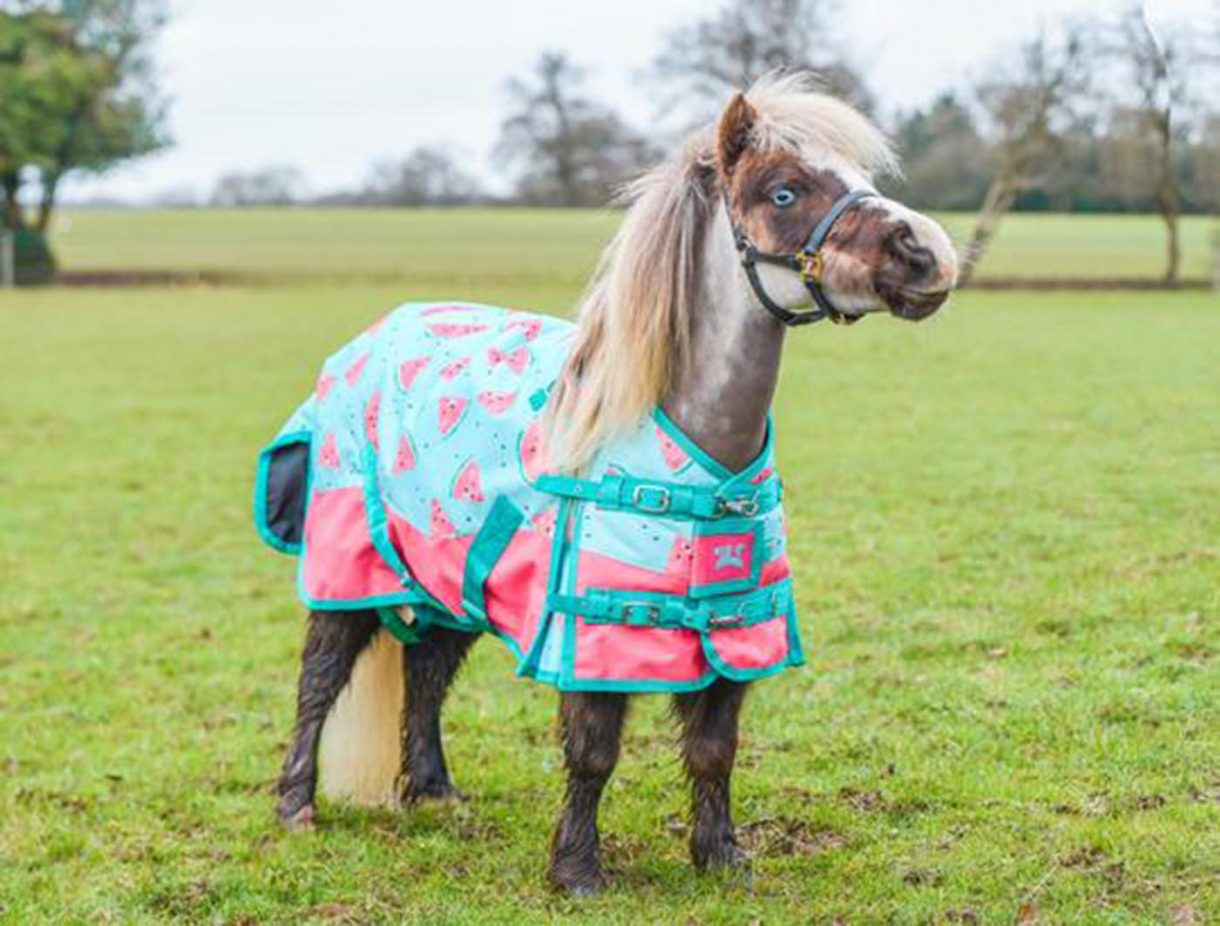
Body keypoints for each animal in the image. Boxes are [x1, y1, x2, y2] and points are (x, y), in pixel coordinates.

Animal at [257, 73, 958, 896]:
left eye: (857, 176)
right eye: (783, 192)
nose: (929, 254)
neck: (692, 444)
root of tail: (371, 339)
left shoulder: (736, 628)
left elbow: (714, 748)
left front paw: (720, 858)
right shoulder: (593, 634)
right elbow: (594, 753)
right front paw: (578, 870)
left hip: (451, 578)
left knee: (426, 675)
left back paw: (434, 793)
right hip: (348, 570)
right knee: (321, 677)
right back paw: (297, 806)